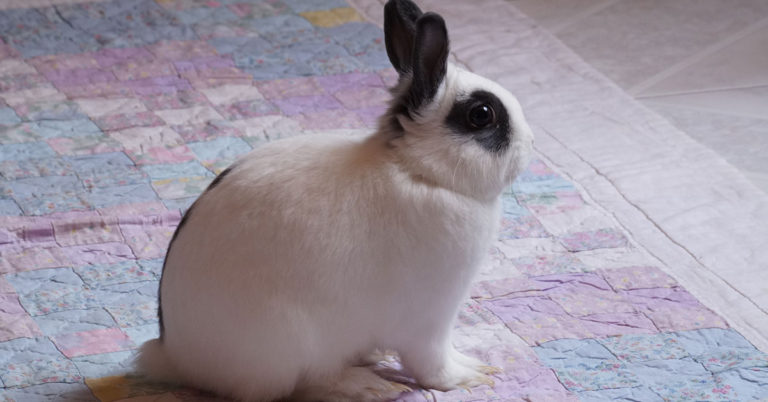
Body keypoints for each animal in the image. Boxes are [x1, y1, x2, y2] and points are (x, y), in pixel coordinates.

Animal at [136, 0, 534, 400]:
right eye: (481, 115)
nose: (530, 144)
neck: (419, 171)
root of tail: (177, 359)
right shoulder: (429, 317)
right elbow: (431, 363)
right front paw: (469, 376)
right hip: (293, 339)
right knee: (309, 382)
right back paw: (368, 385)